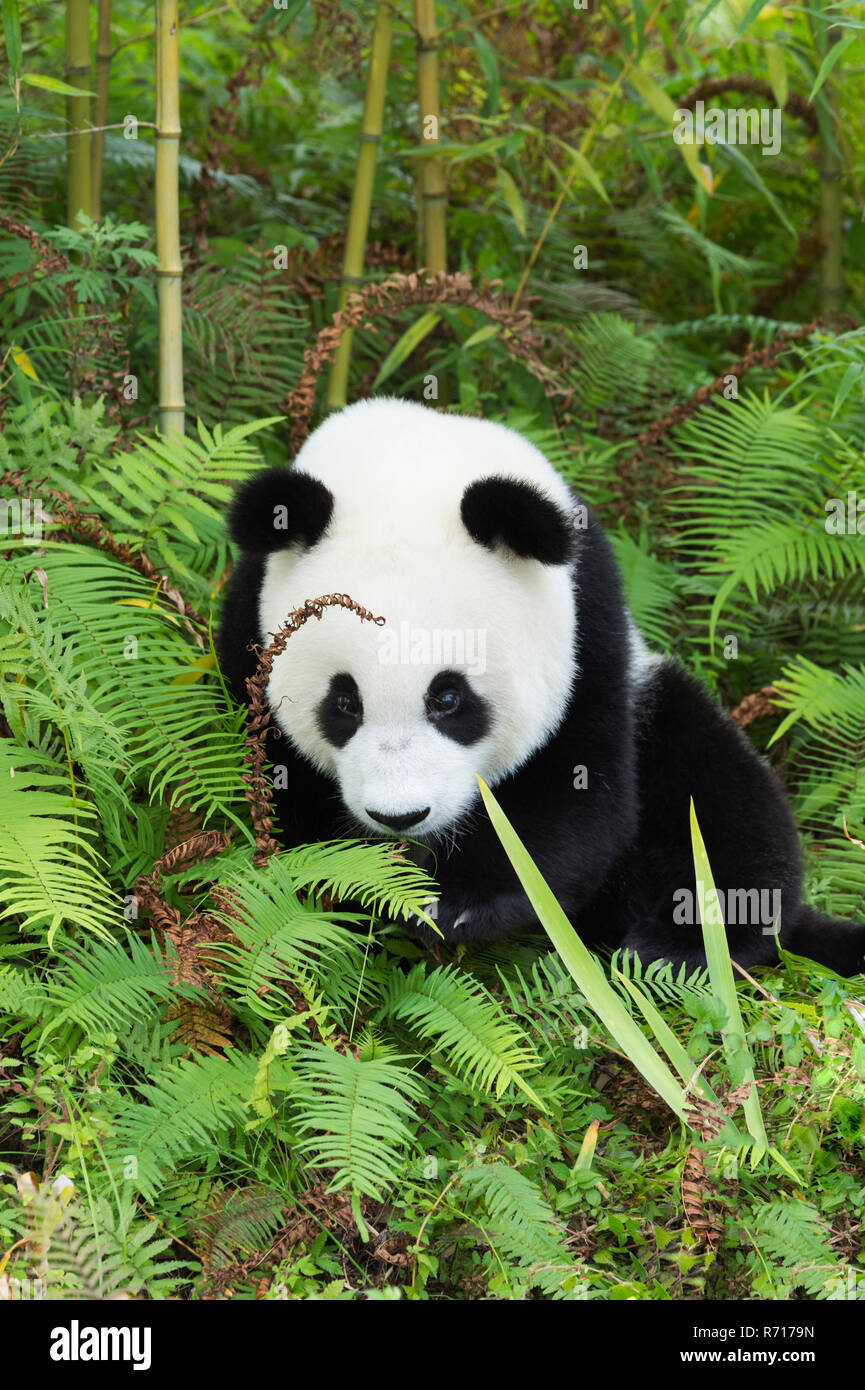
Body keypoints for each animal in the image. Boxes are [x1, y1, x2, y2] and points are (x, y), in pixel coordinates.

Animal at [218, 397, 865, 977]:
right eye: (345, 702)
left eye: (449, 699)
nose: (400, 816)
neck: (412, 464)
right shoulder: (250, 622)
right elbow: (282, 786)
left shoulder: (586, 629)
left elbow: (578, 795)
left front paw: (455, 902)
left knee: (718, 796)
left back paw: (680, 944)